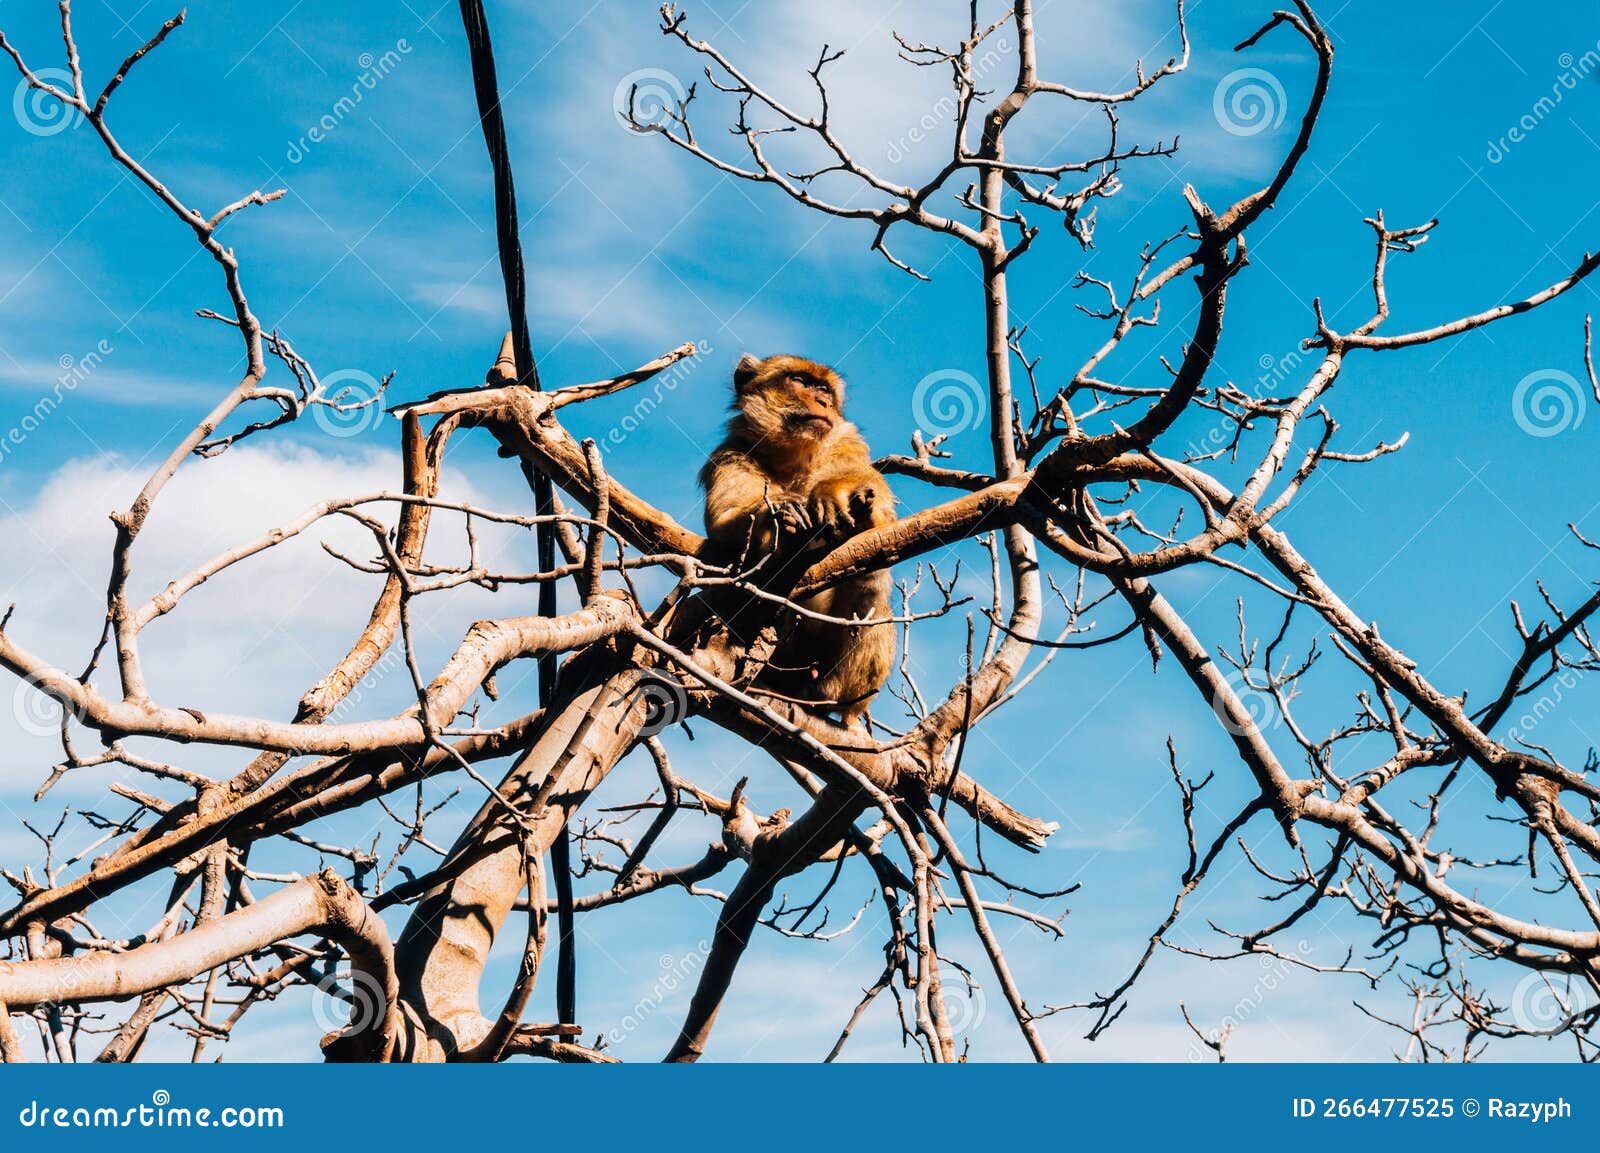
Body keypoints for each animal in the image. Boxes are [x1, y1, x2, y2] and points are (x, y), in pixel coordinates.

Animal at [700, 353, 897, 730]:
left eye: (825, 389)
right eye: (801, 381)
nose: (822, 401)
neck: (792, 457)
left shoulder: (845, 438)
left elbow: (880, 508)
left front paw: (831, 494)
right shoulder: (731, 452)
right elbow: (723, 527)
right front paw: (781, 510)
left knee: (873, 582)